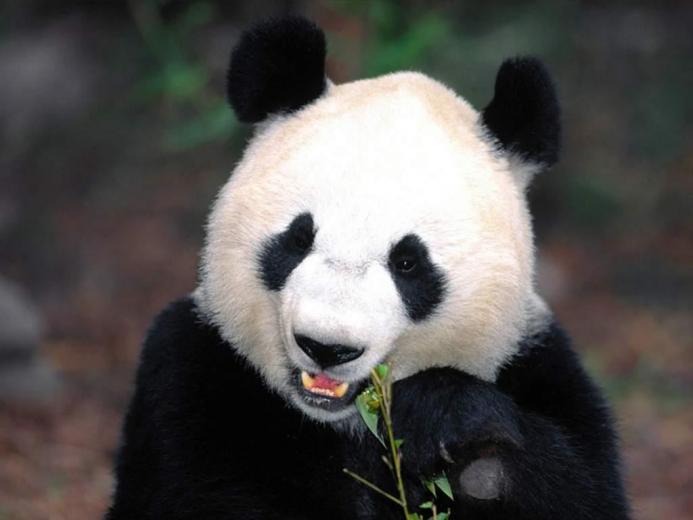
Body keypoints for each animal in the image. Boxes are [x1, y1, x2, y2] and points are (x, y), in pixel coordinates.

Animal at [107, 16, 630, 520]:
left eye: (408, 262)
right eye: (298, 239)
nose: (326, 347)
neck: (343, 422)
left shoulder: (538, 363)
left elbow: (580, 488)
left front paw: (442, 418)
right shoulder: (193, 374)